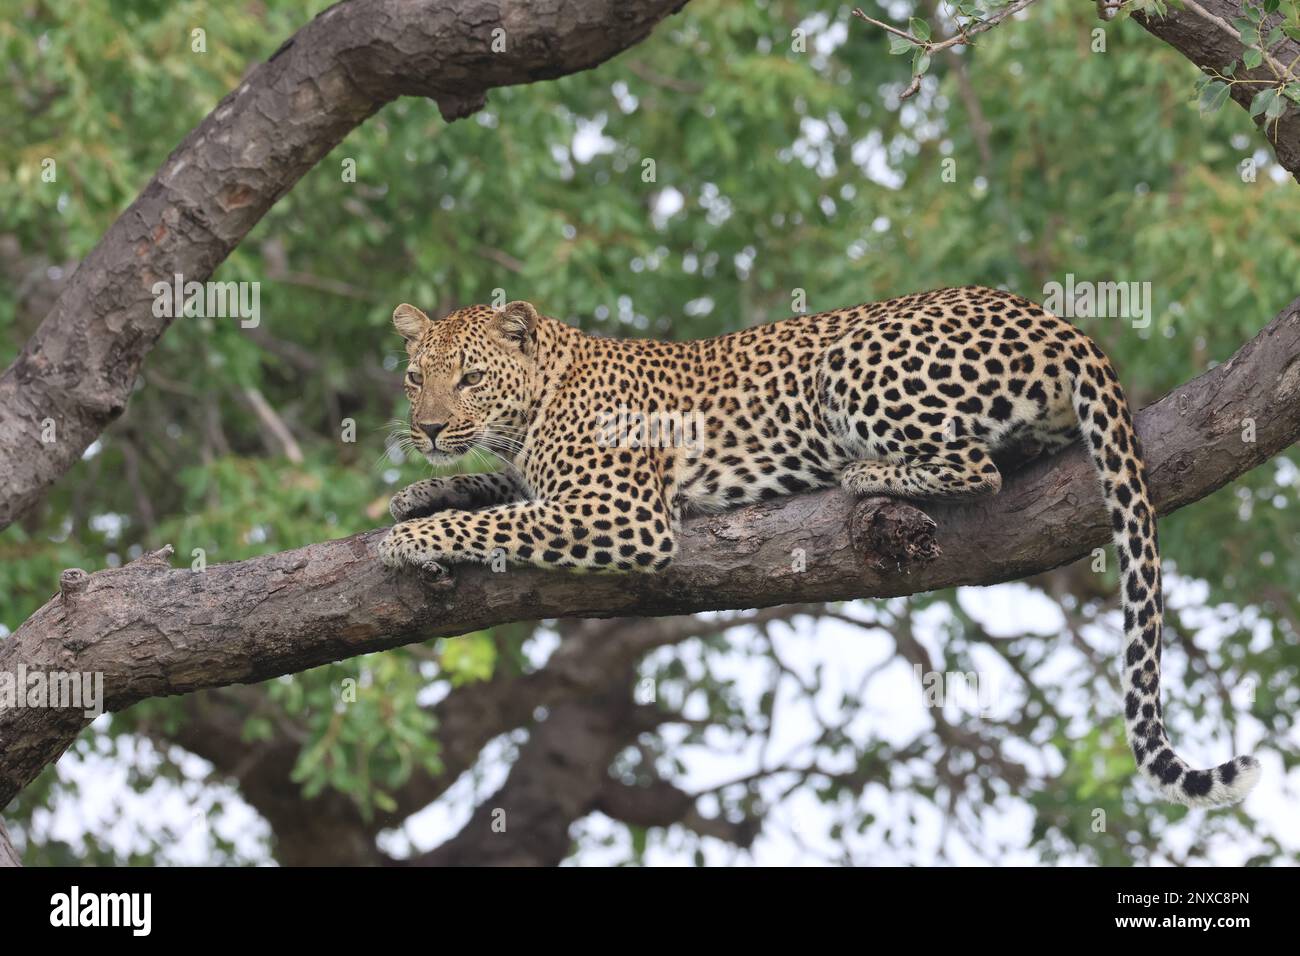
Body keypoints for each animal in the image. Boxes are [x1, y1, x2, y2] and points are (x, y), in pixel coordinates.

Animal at [378, 287, 1260, 808]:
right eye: (416, 376)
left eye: (470, 377)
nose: (428, 428)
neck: (533, 409)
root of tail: (1057, 321)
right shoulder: (542, 484)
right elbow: (492, 492)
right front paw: (414, 494)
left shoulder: (623, 512)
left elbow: (498, 520)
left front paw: (406, 539)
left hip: (855, 360)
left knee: (974, 467)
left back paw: (861, 471)